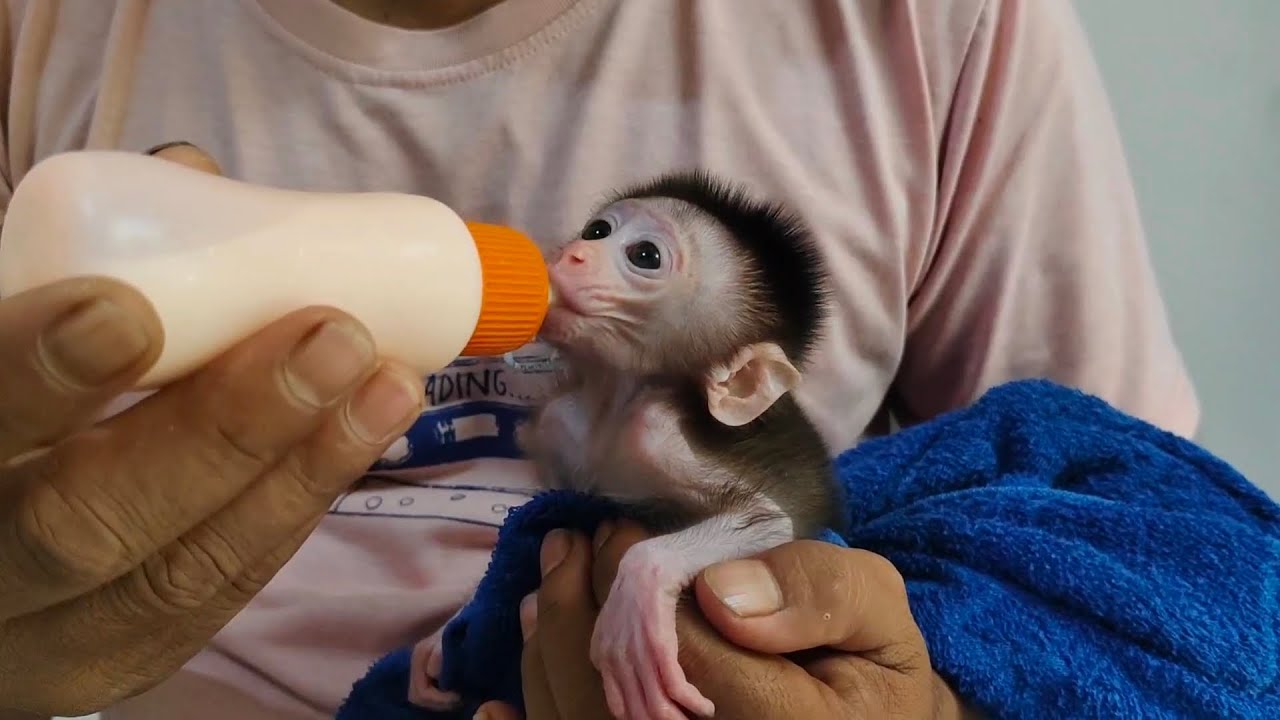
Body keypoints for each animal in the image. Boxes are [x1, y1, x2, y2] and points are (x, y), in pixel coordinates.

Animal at [411, 171, 845, 720]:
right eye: (598, 230)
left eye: (645, 256)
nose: (575, 253)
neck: (610, 405)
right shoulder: (562, 425)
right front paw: (445, 632)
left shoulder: (657, 434)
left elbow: (771, 521)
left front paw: (636, 604)